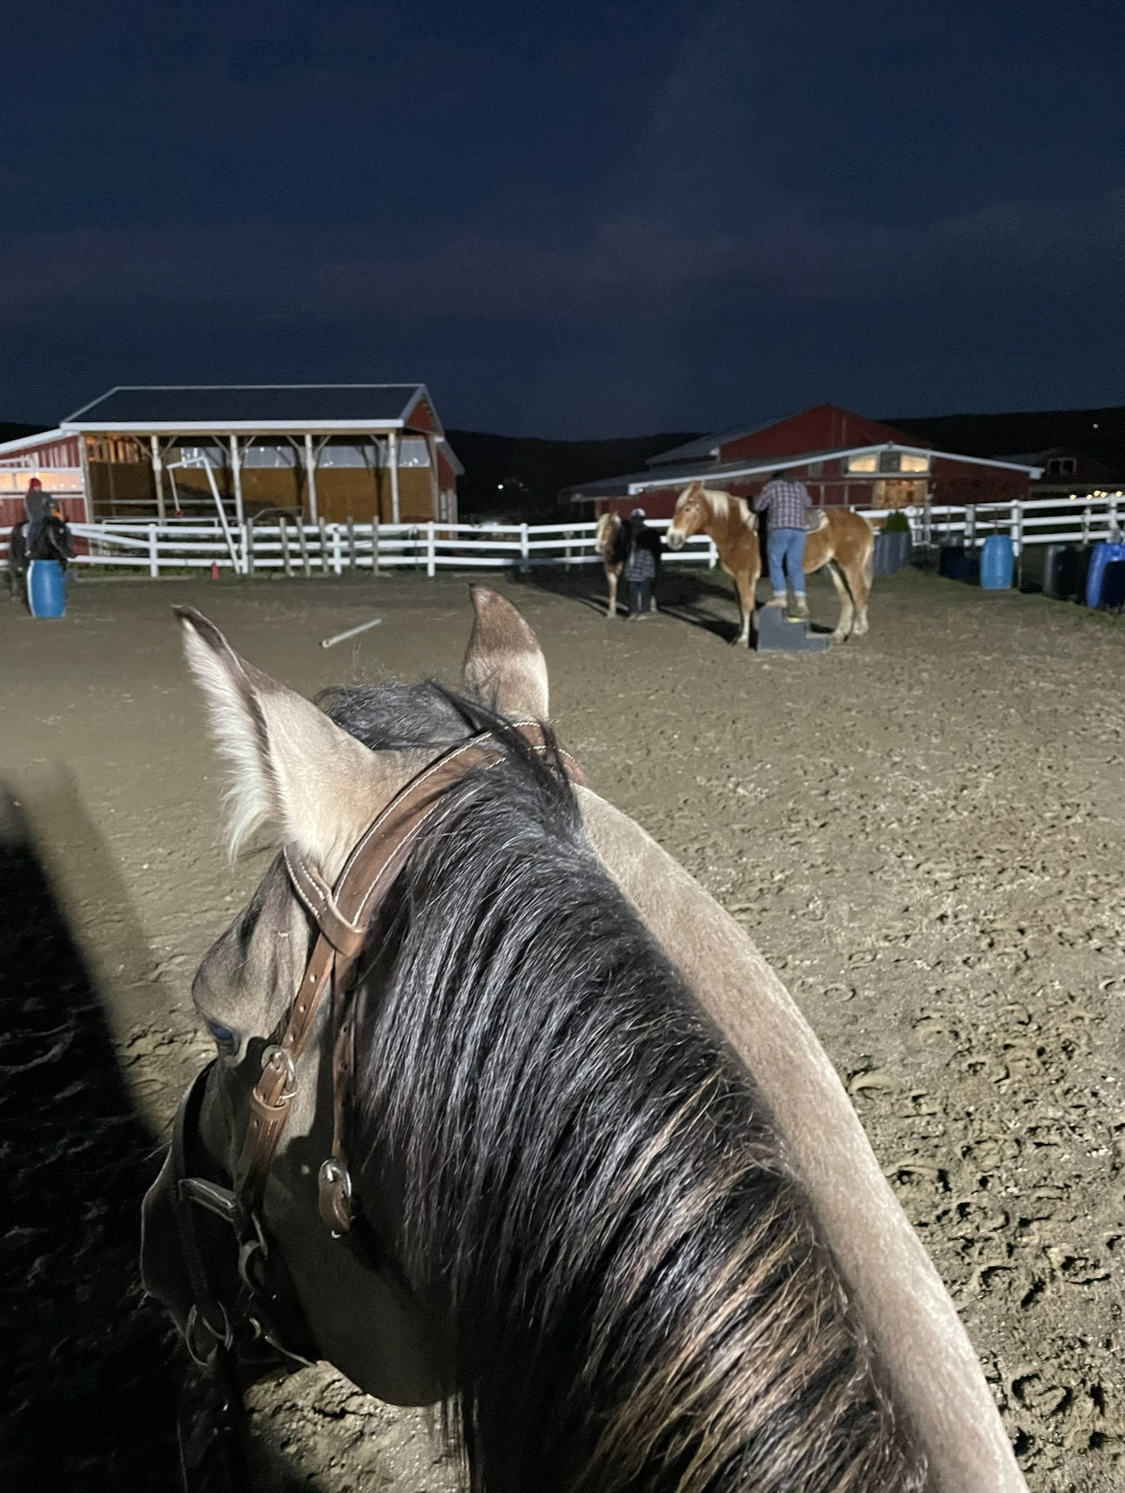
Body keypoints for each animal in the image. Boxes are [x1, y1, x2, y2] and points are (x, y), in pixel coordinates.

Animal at [665, 482, 875, 646]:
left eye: (687, 509)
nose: (672, 538)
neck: (738, 530)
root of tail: (863, 521)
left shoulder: (745, 575)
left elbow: (746, 606)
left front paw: (743, 640)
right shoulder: (735, 578)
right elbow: (741, 606)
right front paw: (742, 636)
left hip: (851, 567)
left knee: (859, 594)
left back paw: (858, 632)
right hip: (835, 567)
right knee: (847, 598)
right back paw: (838, 635)